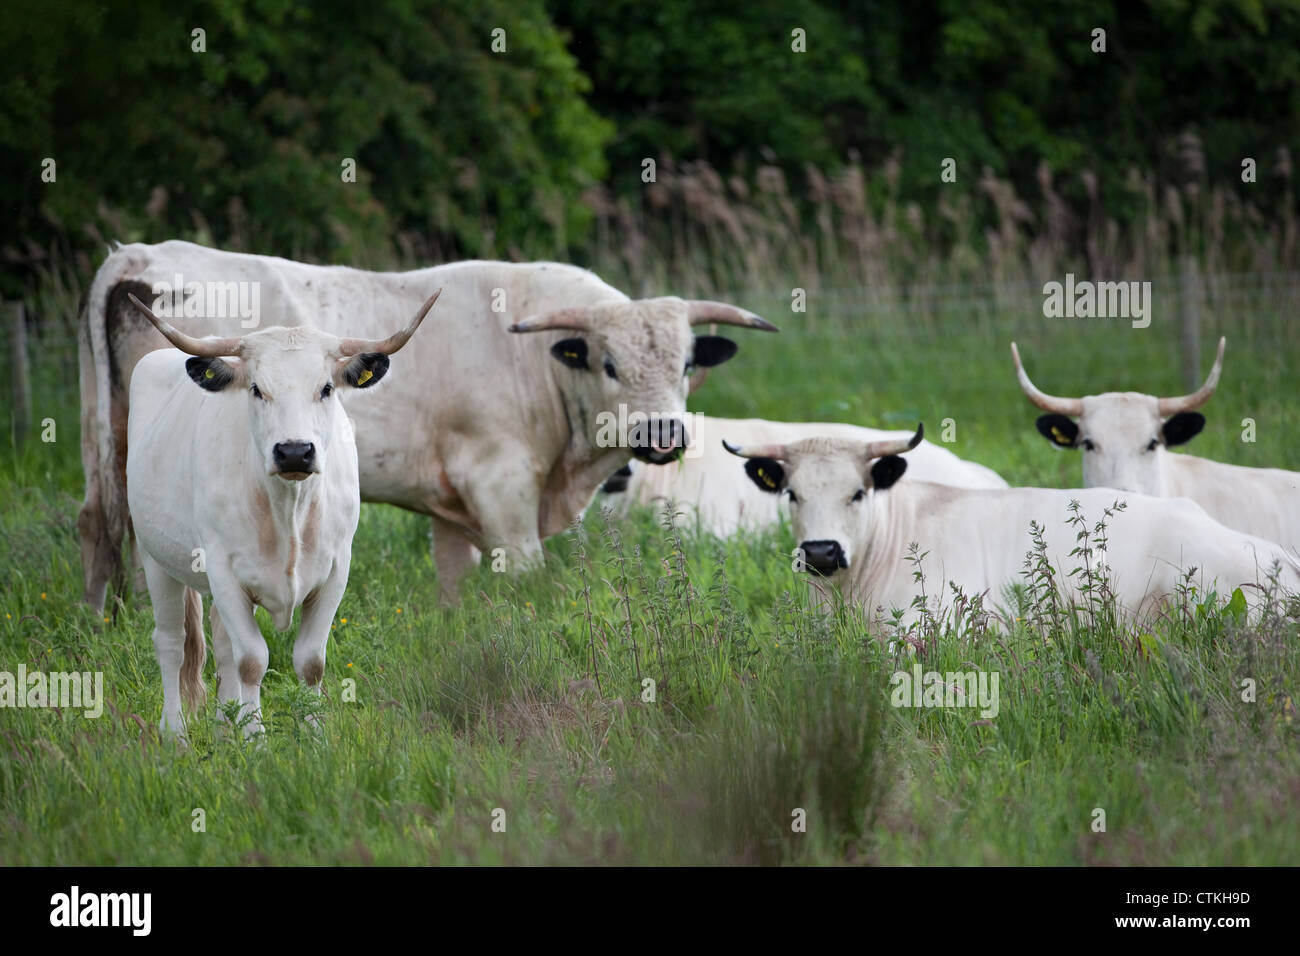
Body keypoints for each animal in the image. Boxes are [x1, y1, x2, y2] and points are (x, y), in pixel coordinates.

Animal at [78, 240, 776, 610]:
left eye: (687, 363)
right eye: (608, 364)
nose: (664, 435)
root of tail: (140, 255)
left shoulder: (452, 506)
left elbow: (455, 583)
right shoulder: (501, 486)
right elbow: (526, 573)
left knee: (98, 524)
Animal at [125, 290, 439, 737]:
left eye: (326, 388)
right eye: (257, 389)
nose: (294, 451)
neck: (289, 509)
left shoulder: (336, 569)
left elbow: (309, 662)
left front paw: (313, 735)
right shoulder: (222, 568)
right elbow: (252, 661)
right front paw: (255, 739)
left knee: (220, 644)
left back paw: (224, 728)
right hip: (155, 557)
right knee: (171, 644)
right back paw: (176, 735)